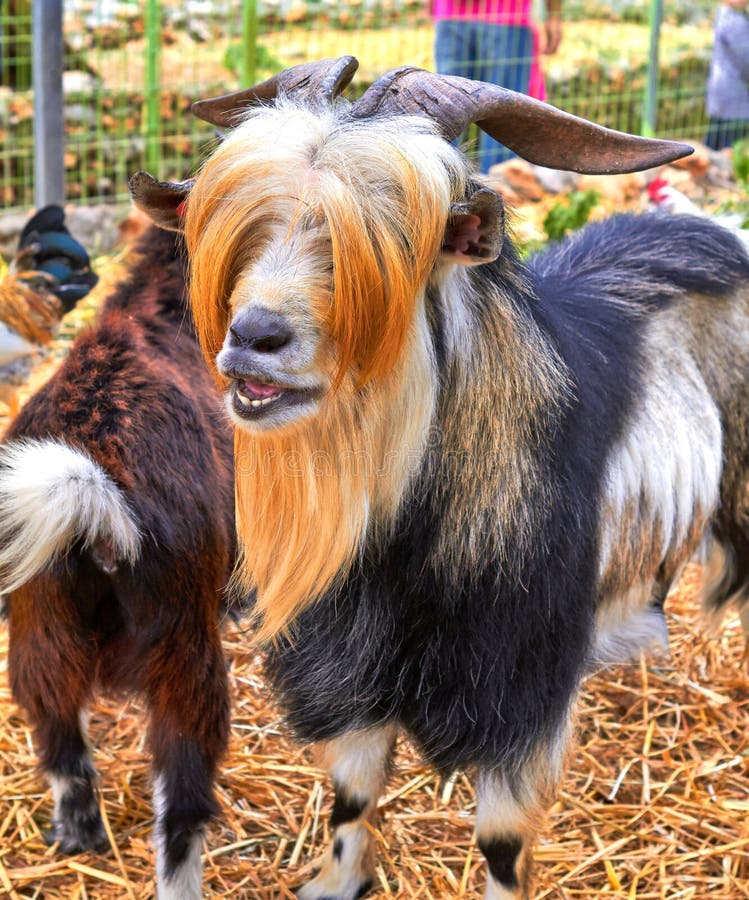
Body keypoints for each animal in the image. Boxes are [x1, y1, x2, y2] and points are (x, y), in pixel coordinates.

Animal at [131, 58, 749, 899]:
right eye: (242, 224)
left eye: (391, 247)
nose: (254, 335)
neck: (402, 550)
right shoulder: (348, 668)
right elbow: (353, 793)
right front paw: (335, 883)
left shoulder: (520, 691)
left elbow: (500, 844)